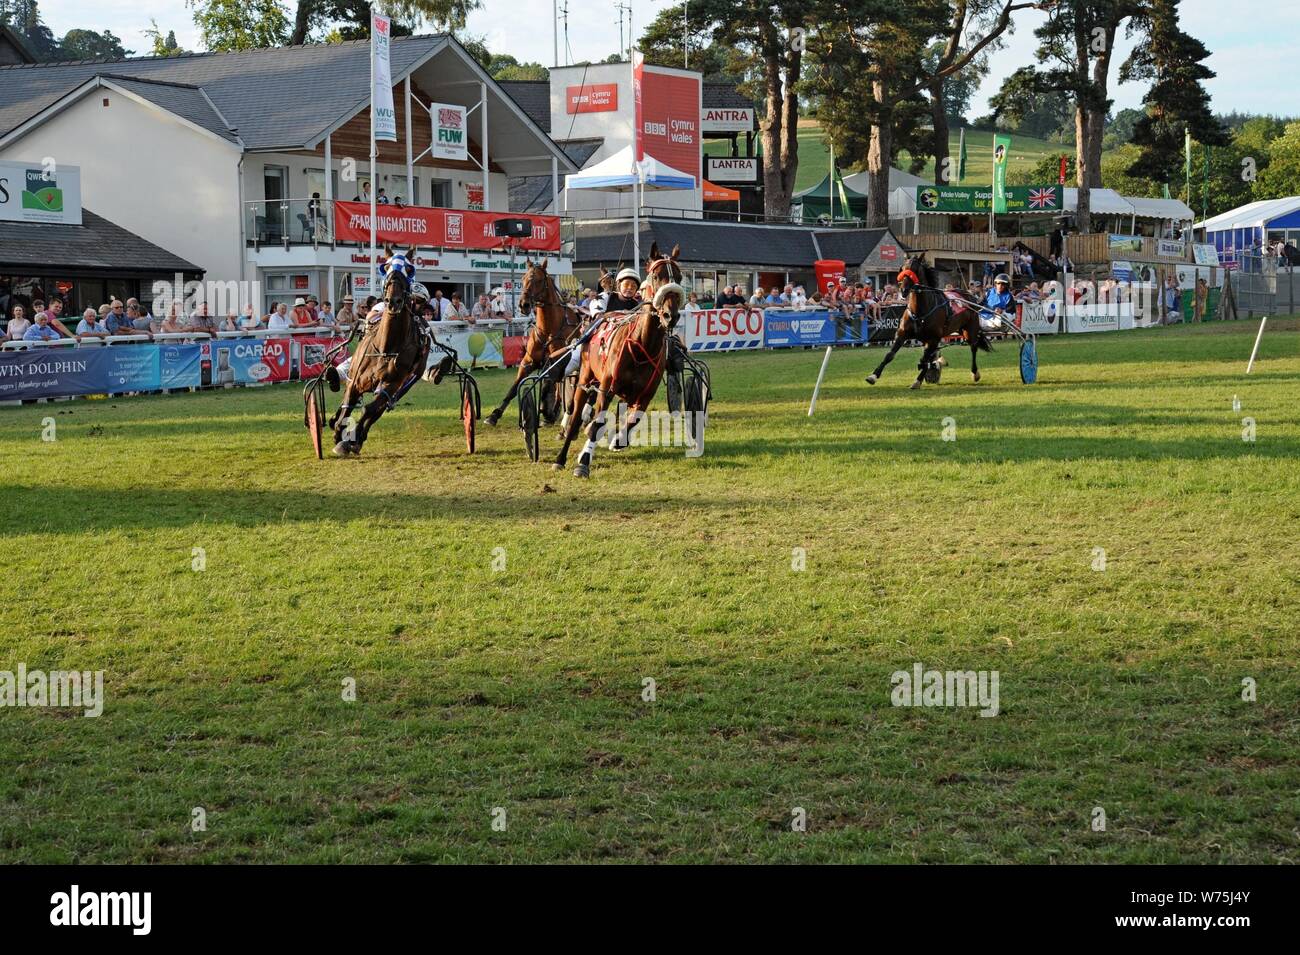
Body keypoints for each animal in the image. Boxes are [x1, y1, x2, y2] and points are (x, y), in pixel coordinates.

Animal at [328, 249, 428, 456]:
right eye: (386, 266)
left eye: (408, 269)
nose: (394, 301)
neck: (386, 348)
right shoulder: (356, 381)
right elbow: (348, 404)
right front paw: (338, 430)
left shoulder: (391, 385)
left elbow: (369, 410)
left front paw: (352, 439)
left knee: (376, 410)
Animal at [485, 258, 584, 427]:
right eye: (523, 278)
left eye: (538, 280)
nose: (523, 304)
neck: (548, 330)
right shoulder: (528, 361)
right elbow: (514, 387)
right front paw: (494, 414)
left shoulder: (558, 361)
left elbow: (548, 385)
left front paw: (546, 410)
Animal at [553, 243, 685, 478]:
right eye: (656, 276)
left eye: (678, 277)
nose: (671, 315)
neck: (642, 345)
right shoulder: (607, 387)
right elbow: (597, 422)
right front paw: (583, 462)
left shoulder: (644, 395)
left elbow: (632, 420)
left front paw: (618, 440)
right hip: (585, 378)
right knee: (576, 414)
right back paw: (561, 455)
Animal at [866, 253, 992, 390]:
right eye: (902, 268)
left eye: (915, 270)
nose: (903, 290)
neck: (920, 311)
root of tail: (970, 296)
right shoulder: (903, 334)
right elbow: (890, 355)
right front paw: (873, 376)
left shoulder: (933, 338)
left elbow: (925, 359)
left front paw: (918, 380)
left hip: (969, 330)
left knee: (973, 347)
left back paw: (975, 373)